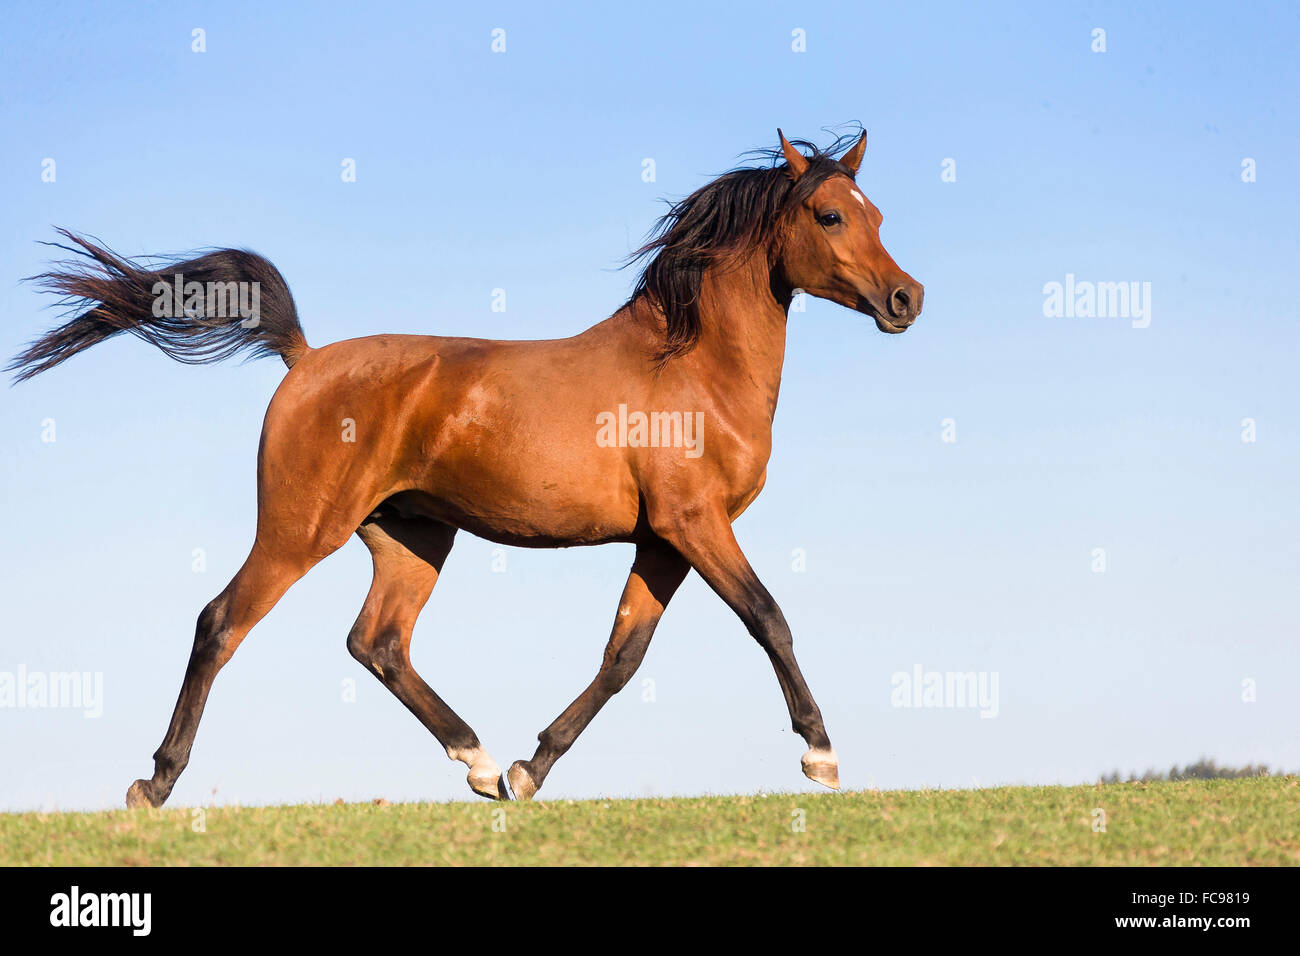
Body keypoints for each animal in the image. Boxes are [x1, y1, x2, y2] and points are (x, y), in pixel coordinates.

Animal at [10, 129, 923, 805]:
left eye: (874, 210)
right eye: (831, 215)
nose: (906, 299)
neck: (692, 365)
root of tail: (303, 359)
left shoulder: (663, 539)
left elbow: (621, 659)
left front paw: (530, 769)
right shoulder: (695, 524)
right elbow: (769, 618)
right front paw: (821, 758)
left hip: (414, 537)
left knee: (377, 642)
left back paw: (481, 764)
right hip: (301, 531)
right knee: (221, 621)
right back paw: (154, 784)